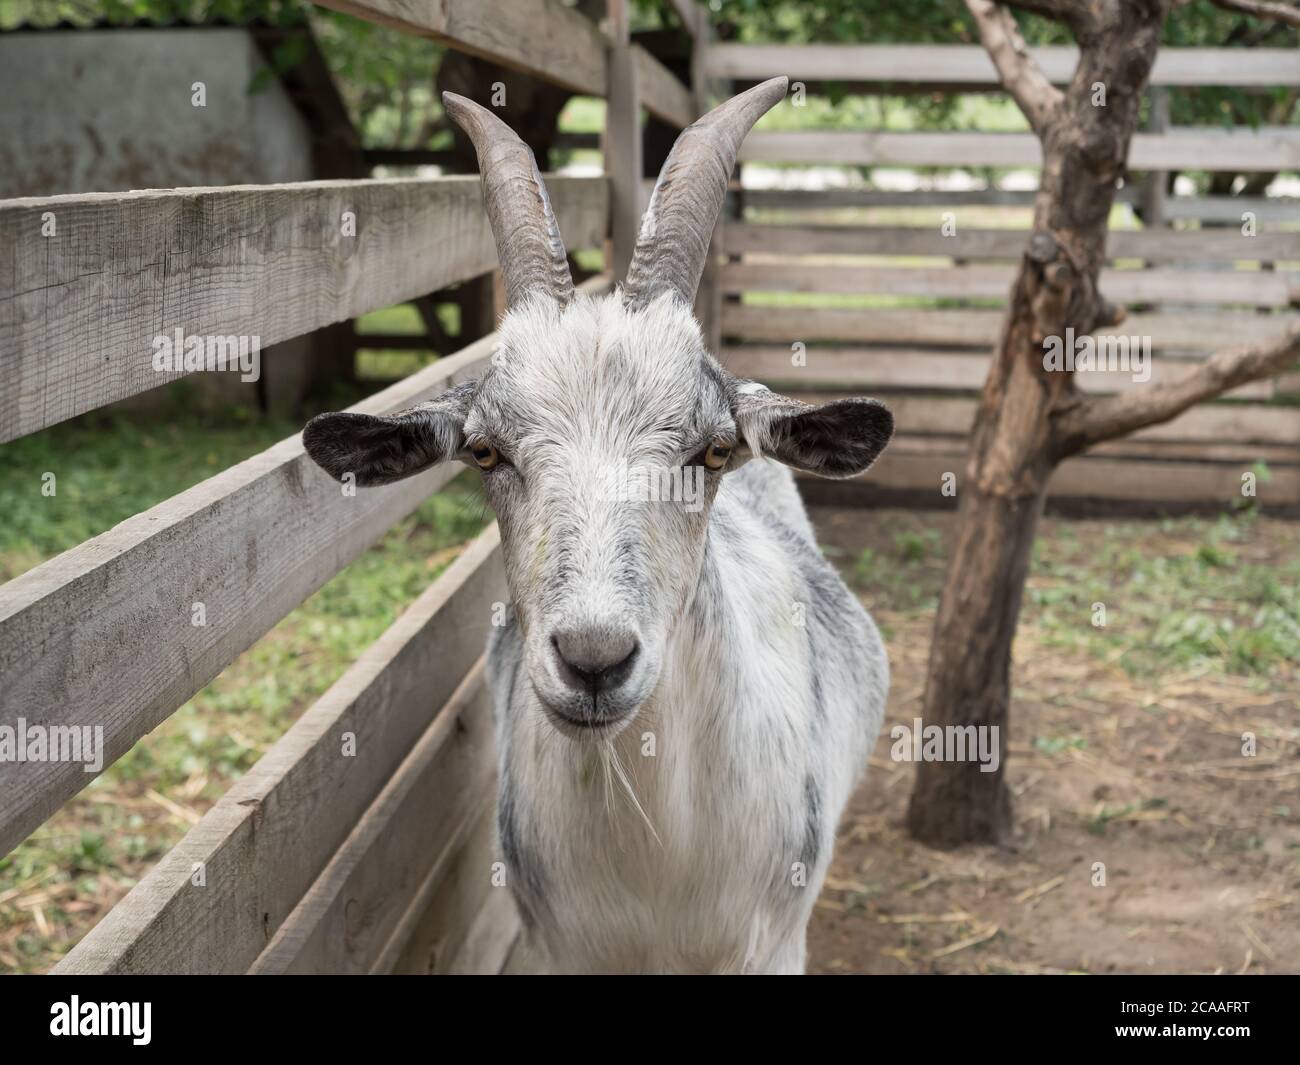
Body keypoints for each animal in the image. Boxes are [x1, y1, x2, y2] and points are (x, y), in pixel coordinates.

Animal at [302, 77, 893, 974]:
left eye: (714, 449)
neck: (657, 873)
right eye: (485, 450)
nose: (592, 659)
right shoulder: (554, 945)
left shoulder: (773, 943)